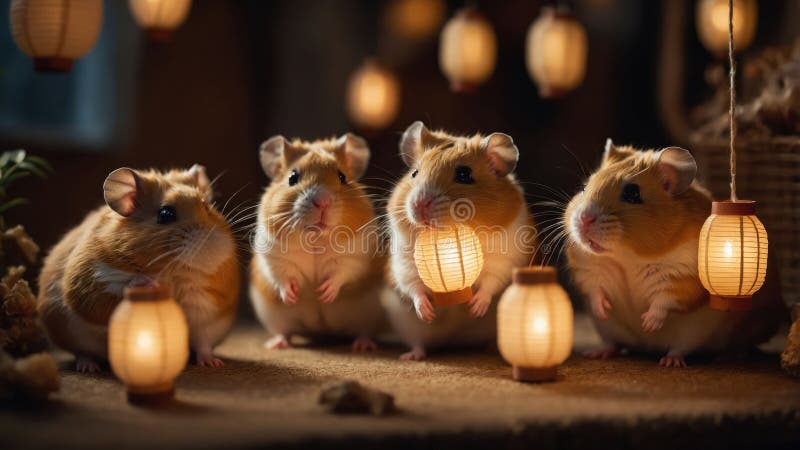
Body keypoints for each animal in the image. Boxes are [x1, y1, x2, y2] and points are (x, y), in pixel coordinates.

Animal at [38, 165, 240, 372]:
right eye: (166, 214)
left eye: (207, 208)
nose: (213, 244)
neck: (173, 271)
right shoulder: (93, 283)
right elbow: (121, 286)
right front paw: (148, 282)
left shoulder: (204, 308)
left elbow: (202, 342)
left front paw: (213, 363)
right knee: (81, 352)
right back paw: (88, 367)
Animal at [249, 133, 386, 351]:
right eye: (292, 178)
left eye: (342, 177)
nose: (322, 201)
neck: (315, 240)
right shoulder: (273, 255)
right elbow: (282, 276)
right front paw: (292, 296)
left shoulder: (354, 255)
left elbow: (340, 274)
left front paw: (323, 293)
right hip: (276, 318)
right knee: (285, 332)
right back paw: (275, 344)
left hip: (369, 316)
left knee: (364, 331)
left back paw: (362, 346)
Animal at [382, 121, 536, 360]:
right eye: (414, 173)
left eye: (464, 174)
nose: (419, 204)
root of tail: (454, 340)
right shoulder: (403, 262)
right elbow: (413, 286)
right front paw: (427, 312)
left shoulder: (505, 259)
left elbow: (491, 282)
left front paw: (475, 309)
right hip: (408, 325)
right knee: (419, 342)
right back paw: (412, 356)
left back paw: (492, 348)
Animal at [564, 140, 785, 367]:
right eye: (584, 187)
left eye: (632, 194)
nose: (584, 219)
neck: (628, 257)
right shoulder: (589, 268)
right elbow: (595, 290)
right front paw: (603, 309)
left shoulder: (681, 276)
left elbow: (664, 301)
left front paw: (647, 324)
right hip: (609, 330)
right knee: (613, 343)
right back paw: (596, 353)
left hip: (710, 332)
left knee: (689, 348)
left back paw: (682, 361)